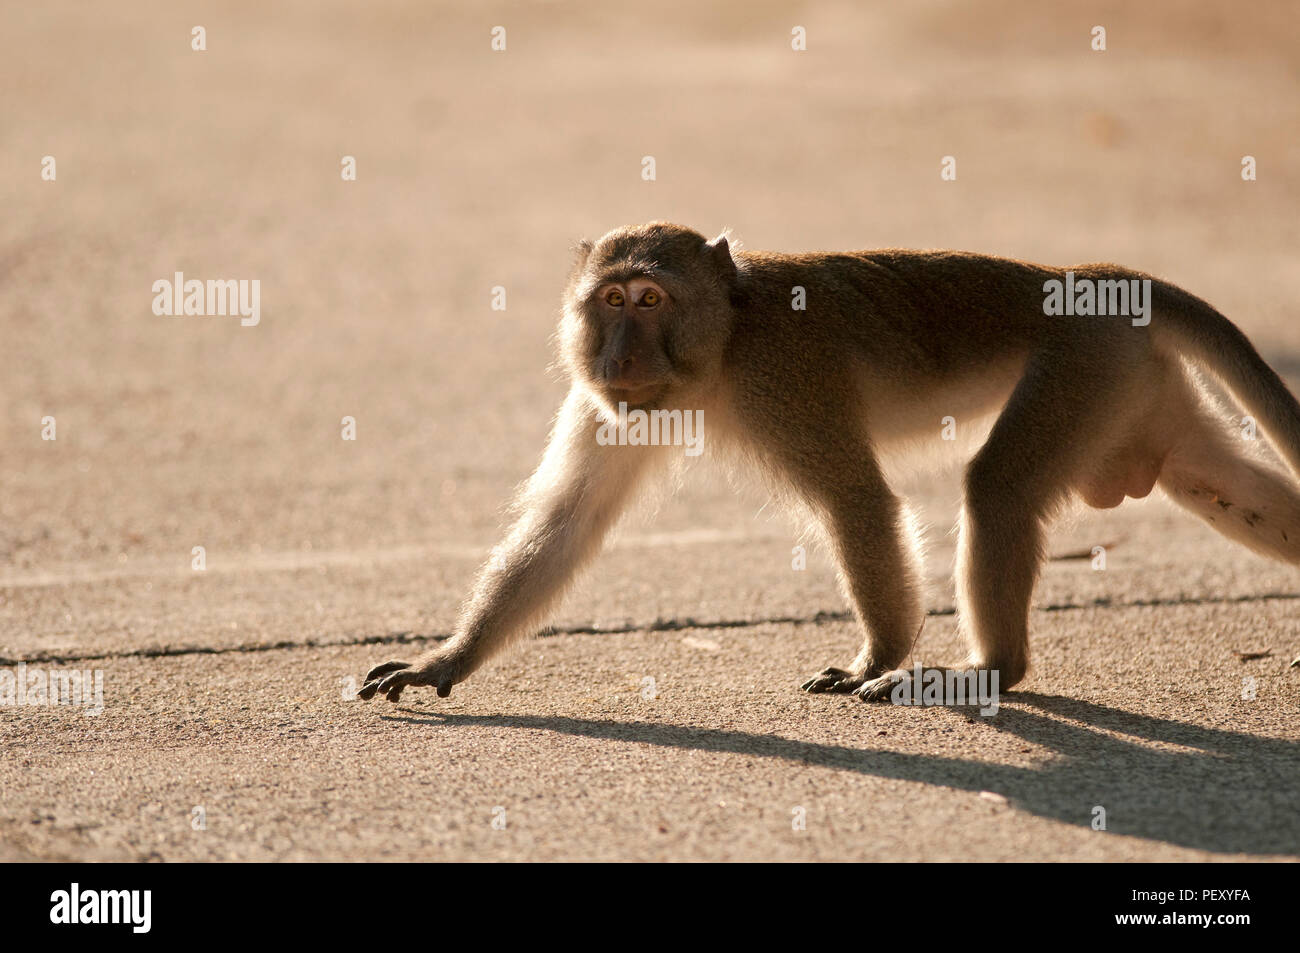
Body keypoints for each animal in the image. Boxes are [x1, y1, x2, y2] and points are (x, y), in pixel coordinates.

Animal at [358, 221, 1300, 705]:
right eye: (610, 300)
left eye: (651, 298)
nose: (619, 355)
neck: (726, 343)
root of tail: (1096, 274)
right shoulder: (607, 406)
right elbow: (565, 524)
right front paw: (447, 659)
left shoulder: (785, 378)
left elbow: (856, 498)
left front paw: (873, 659)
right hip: (1131, 387)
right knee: (1214, 480)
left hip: (1080, 364)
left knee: (995, 489)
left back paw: (990, 671)